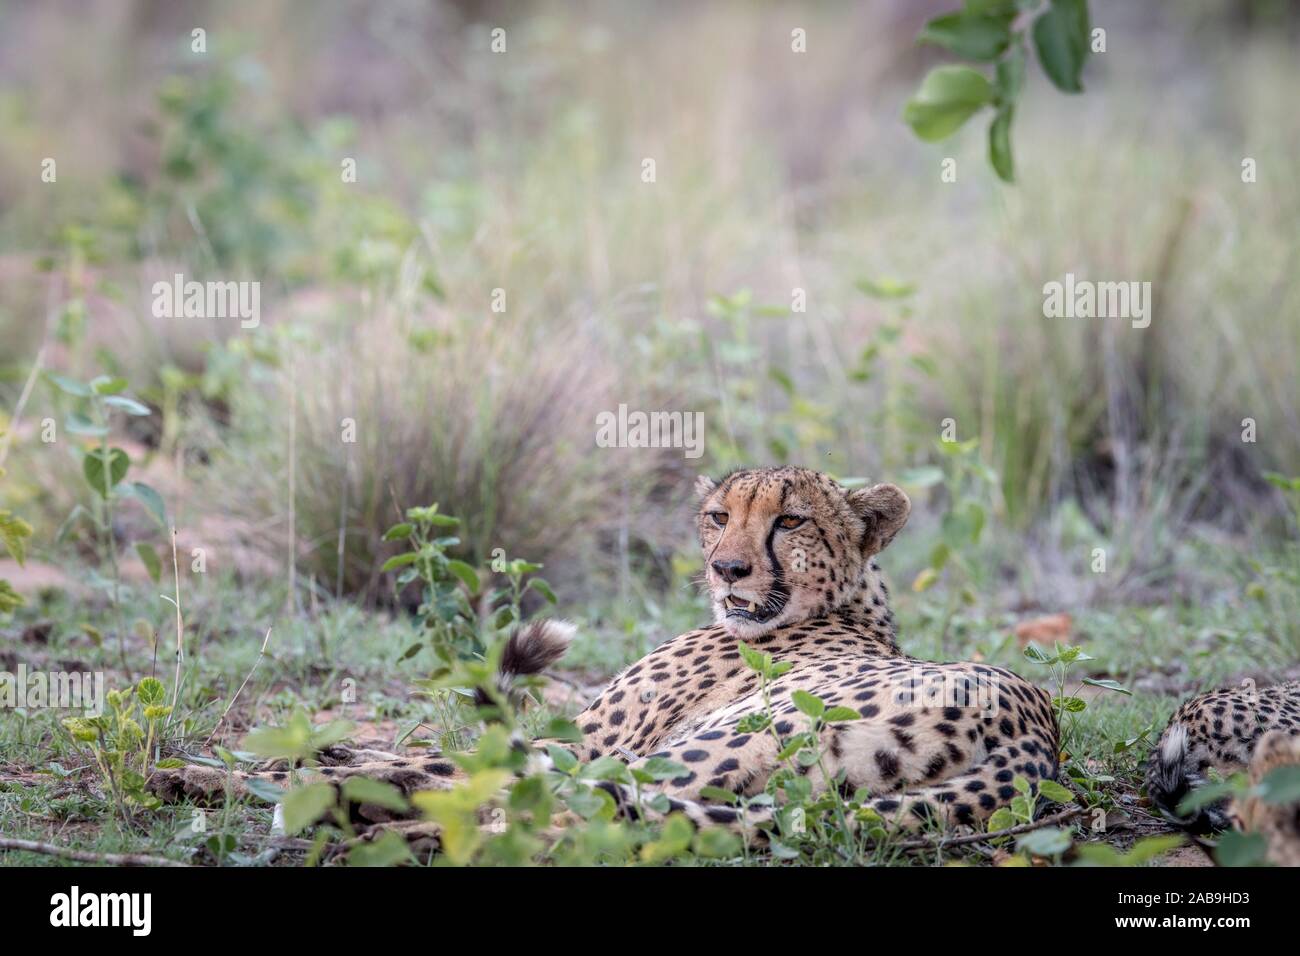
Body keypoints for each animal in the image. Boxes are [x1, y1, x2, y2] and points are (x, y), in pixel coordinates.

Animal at [149, 465, 1062, 841]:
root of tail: (1035, 739)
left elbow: (429, 755)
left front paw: (210, 770)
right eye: (717, 516)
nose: (728, 569)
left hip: (684, 755)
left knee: (528, 804)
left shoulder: (590, 741)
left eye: (791, 521)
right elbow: (399, 745)